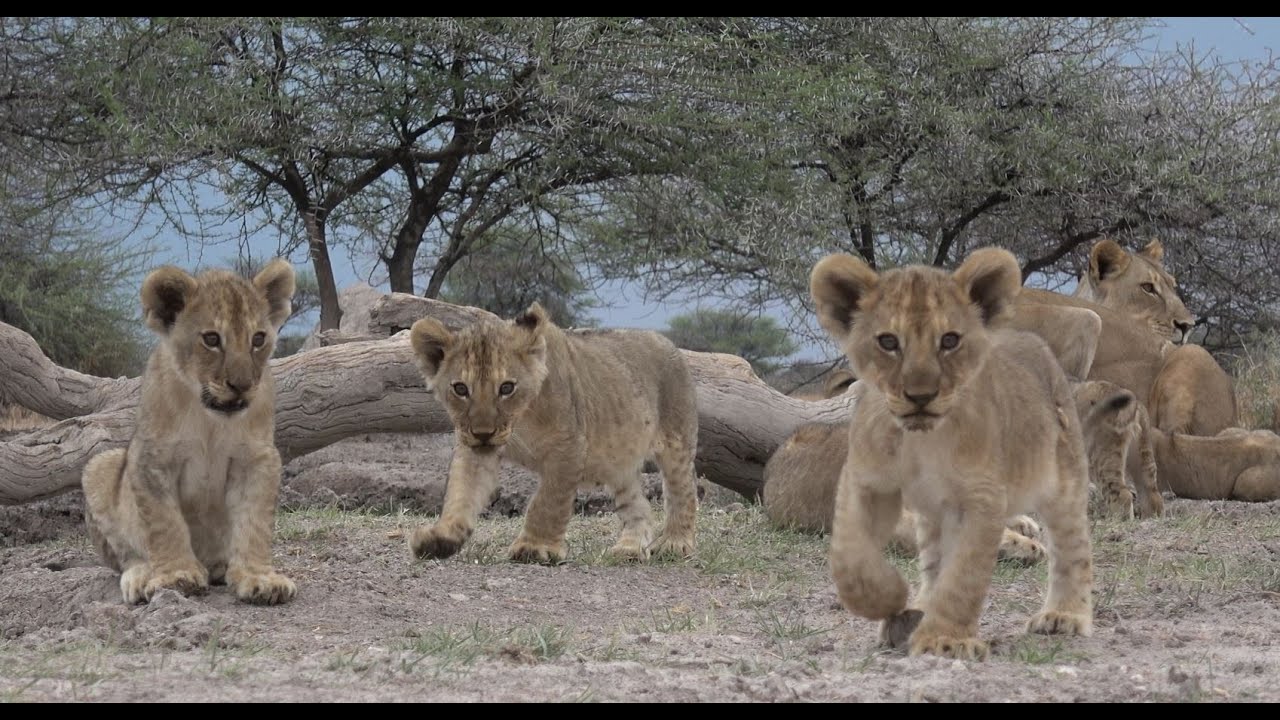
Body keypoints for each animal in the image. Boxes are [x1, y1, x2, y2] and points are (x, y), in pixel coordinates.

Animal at [80, 259, 298, 606]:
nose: (242, 385)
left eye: (258, 339)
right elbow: (165, 522)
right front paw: (176, 576)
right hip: (101, 465)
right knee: (126, 557)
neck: (210, 419)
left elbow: (254, 522)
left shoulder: (258, 458)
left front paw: (259, 578)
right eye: (211, 339)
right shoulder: (151, 458)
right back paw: (140, 576)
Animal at [407, 303, 699, 564]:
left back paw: (675, 543)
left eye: (506, 387)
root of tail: (667, 341)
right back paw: (629, 549)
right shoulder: (475, 450)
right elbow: (461, 493)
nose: (483, 433)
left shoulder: (568, 446)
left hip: (676, 443)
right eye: (460, 389)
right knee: (639, 506)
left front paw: (535, 548)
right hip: (619, 464)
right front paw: (440, 540)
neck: (521, 421)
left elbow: (547, 501)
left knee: (683, 492)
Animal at [810, 247, 1094, 660]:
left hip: (1065, 479)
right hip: (931, 515)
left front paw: (945, 639)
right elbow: (850, 559)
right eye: (888, 342)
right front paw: (891, 598)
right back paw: (918, 608)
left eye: (949, 340)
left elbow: (963, 576)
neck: (922, 441)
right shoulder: (864, 482)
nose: (920, 396)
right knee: (932, 564)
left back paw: (1064, 615)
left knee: (1072, 550)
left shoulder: (981, 499)